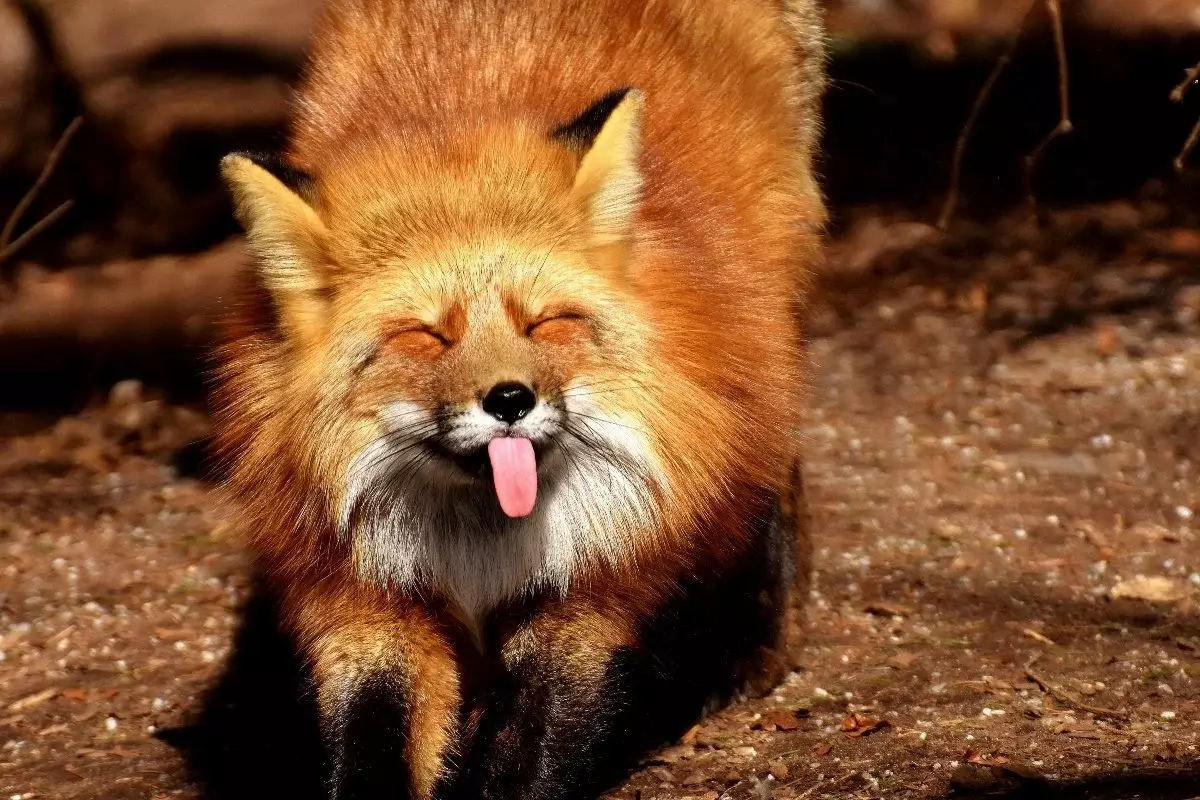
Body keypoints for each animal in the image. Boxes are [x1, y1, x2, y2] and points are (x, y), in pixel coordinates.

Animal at [216, 3, 825, 796]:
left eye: (543, 322)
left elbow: (534, 744)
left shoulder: (592, 592)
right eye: (426, 335)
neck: (481, 547)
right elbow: (375, 733)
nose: (510, 399)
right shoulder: (363, 603)